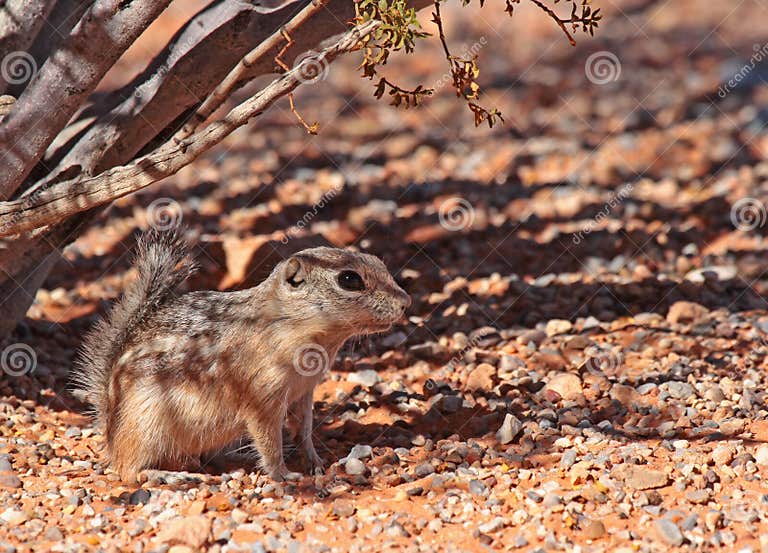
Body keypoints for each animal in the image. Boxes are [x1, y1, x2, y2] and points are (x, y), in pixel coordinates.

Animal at [73, 229, 411, 482]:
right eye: (349, 280)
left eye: (377, 261)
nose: (406, 302)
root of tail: (109, 425)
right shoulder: (261, 400)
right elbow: (269, 442)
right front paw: (284, 476)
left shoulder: (304, 392)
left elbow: (304, 431)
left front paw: (315, 463)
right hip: (148, 429)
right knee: (129, 471)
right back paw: (172, 476)